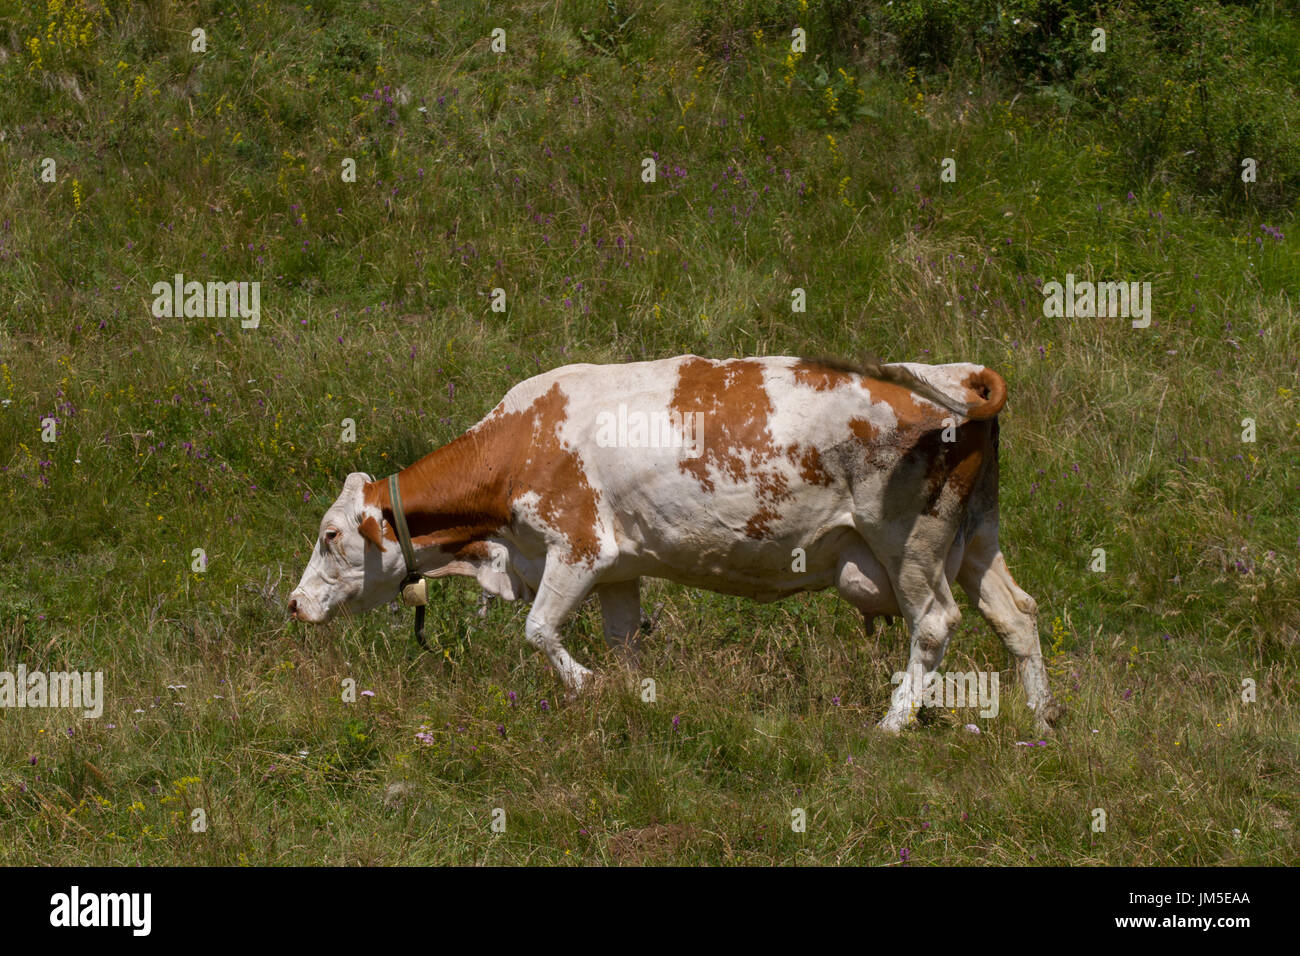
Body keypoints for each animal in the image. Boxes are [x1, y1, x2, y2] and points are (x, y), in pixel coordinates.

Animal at [288, 355, 1061, 733]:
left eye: (330, 536)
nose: (294, 604)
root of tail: (955, 385)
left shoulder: (576, 548)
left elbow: (537, 630)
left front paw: (587, 685)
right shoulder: (619, 570)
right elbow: (625, 642)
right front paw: (636, 700)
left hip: (910, 541)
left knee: (933, 624)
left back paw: (892, 724)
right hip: (975, 537)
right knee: (1016, 613)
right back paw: (1043, 723)